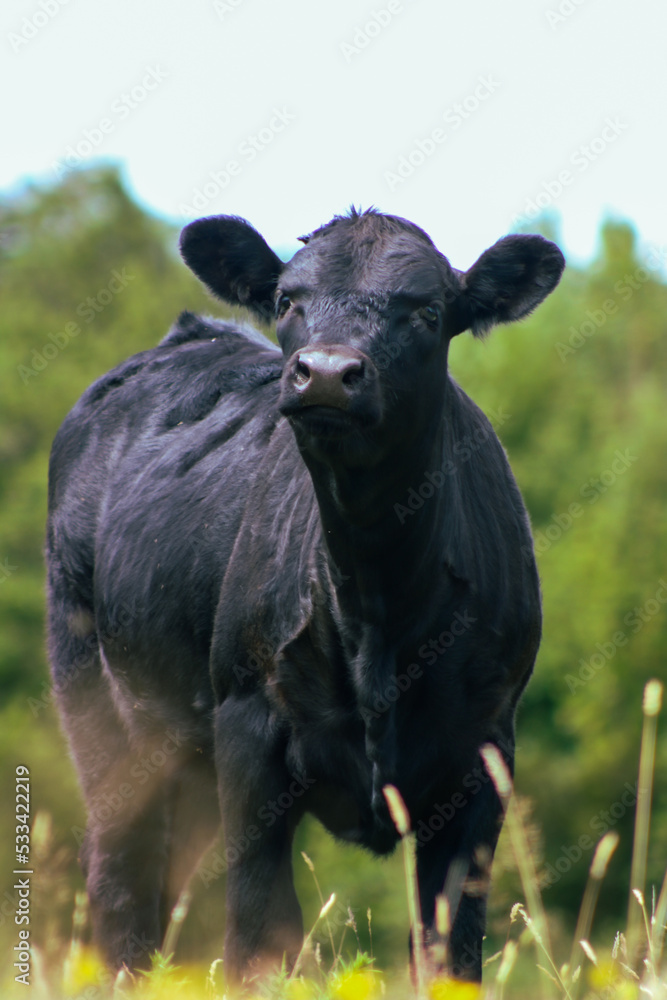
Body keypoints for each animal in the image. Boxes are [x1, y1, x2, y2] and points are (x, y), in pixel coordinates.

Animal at [46, 208, 564, 985]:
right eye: (289, 299)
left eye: (428, 310)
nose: (325, 372)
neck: (373, 604)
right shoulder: (247, 727)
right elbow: (261, 935)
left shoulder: (482, 751)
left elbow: (449, 949)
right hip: (97, 708)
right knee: (121, 886)